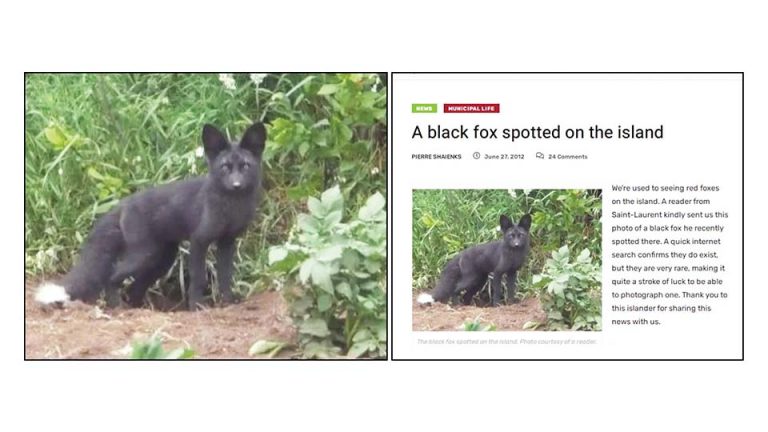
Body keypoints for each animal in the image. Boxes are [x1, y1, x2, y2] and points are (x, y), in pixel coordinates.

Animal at [35, 122, 266, 310]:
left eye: (245, 166)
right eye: (225, 167)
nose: (236, 185)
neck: (231, 209)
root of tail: (123, 203)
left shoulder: (227, 241)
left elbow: (226, 277)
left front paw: (229, 302)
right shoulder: (199, 240)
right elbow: (199, 278)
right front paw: (197, 307)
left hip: (160, 260)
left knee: (134, 288)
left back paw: (139, 310)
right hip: (144, 255)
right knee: (111, 277)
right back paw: (117, 307)